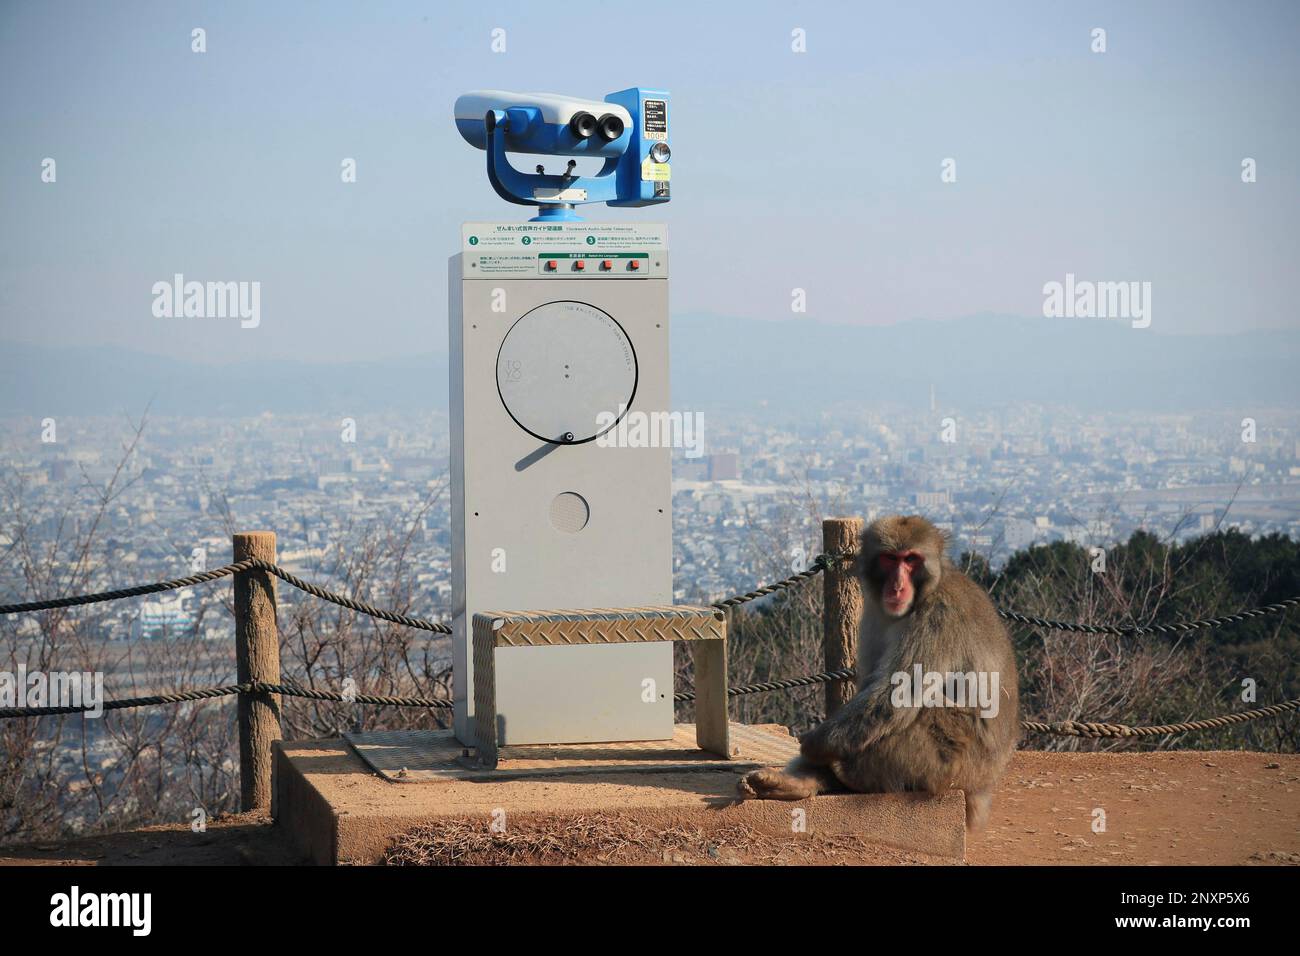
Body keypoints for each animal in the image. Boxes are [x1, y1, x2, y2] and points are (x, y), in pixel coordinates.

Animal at [737, 515, 1019, 830]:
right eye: (889, 559)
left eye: (911, 560)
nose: (896, 586)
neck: (922, 597)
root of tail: (986, 784)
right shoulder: (874, 612)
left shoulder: (937, 617)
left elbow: (894, 694)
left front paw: (814, 745)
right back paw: (795, 784)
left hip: (957, 764)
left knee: (922, 709)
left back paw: (848, 773)